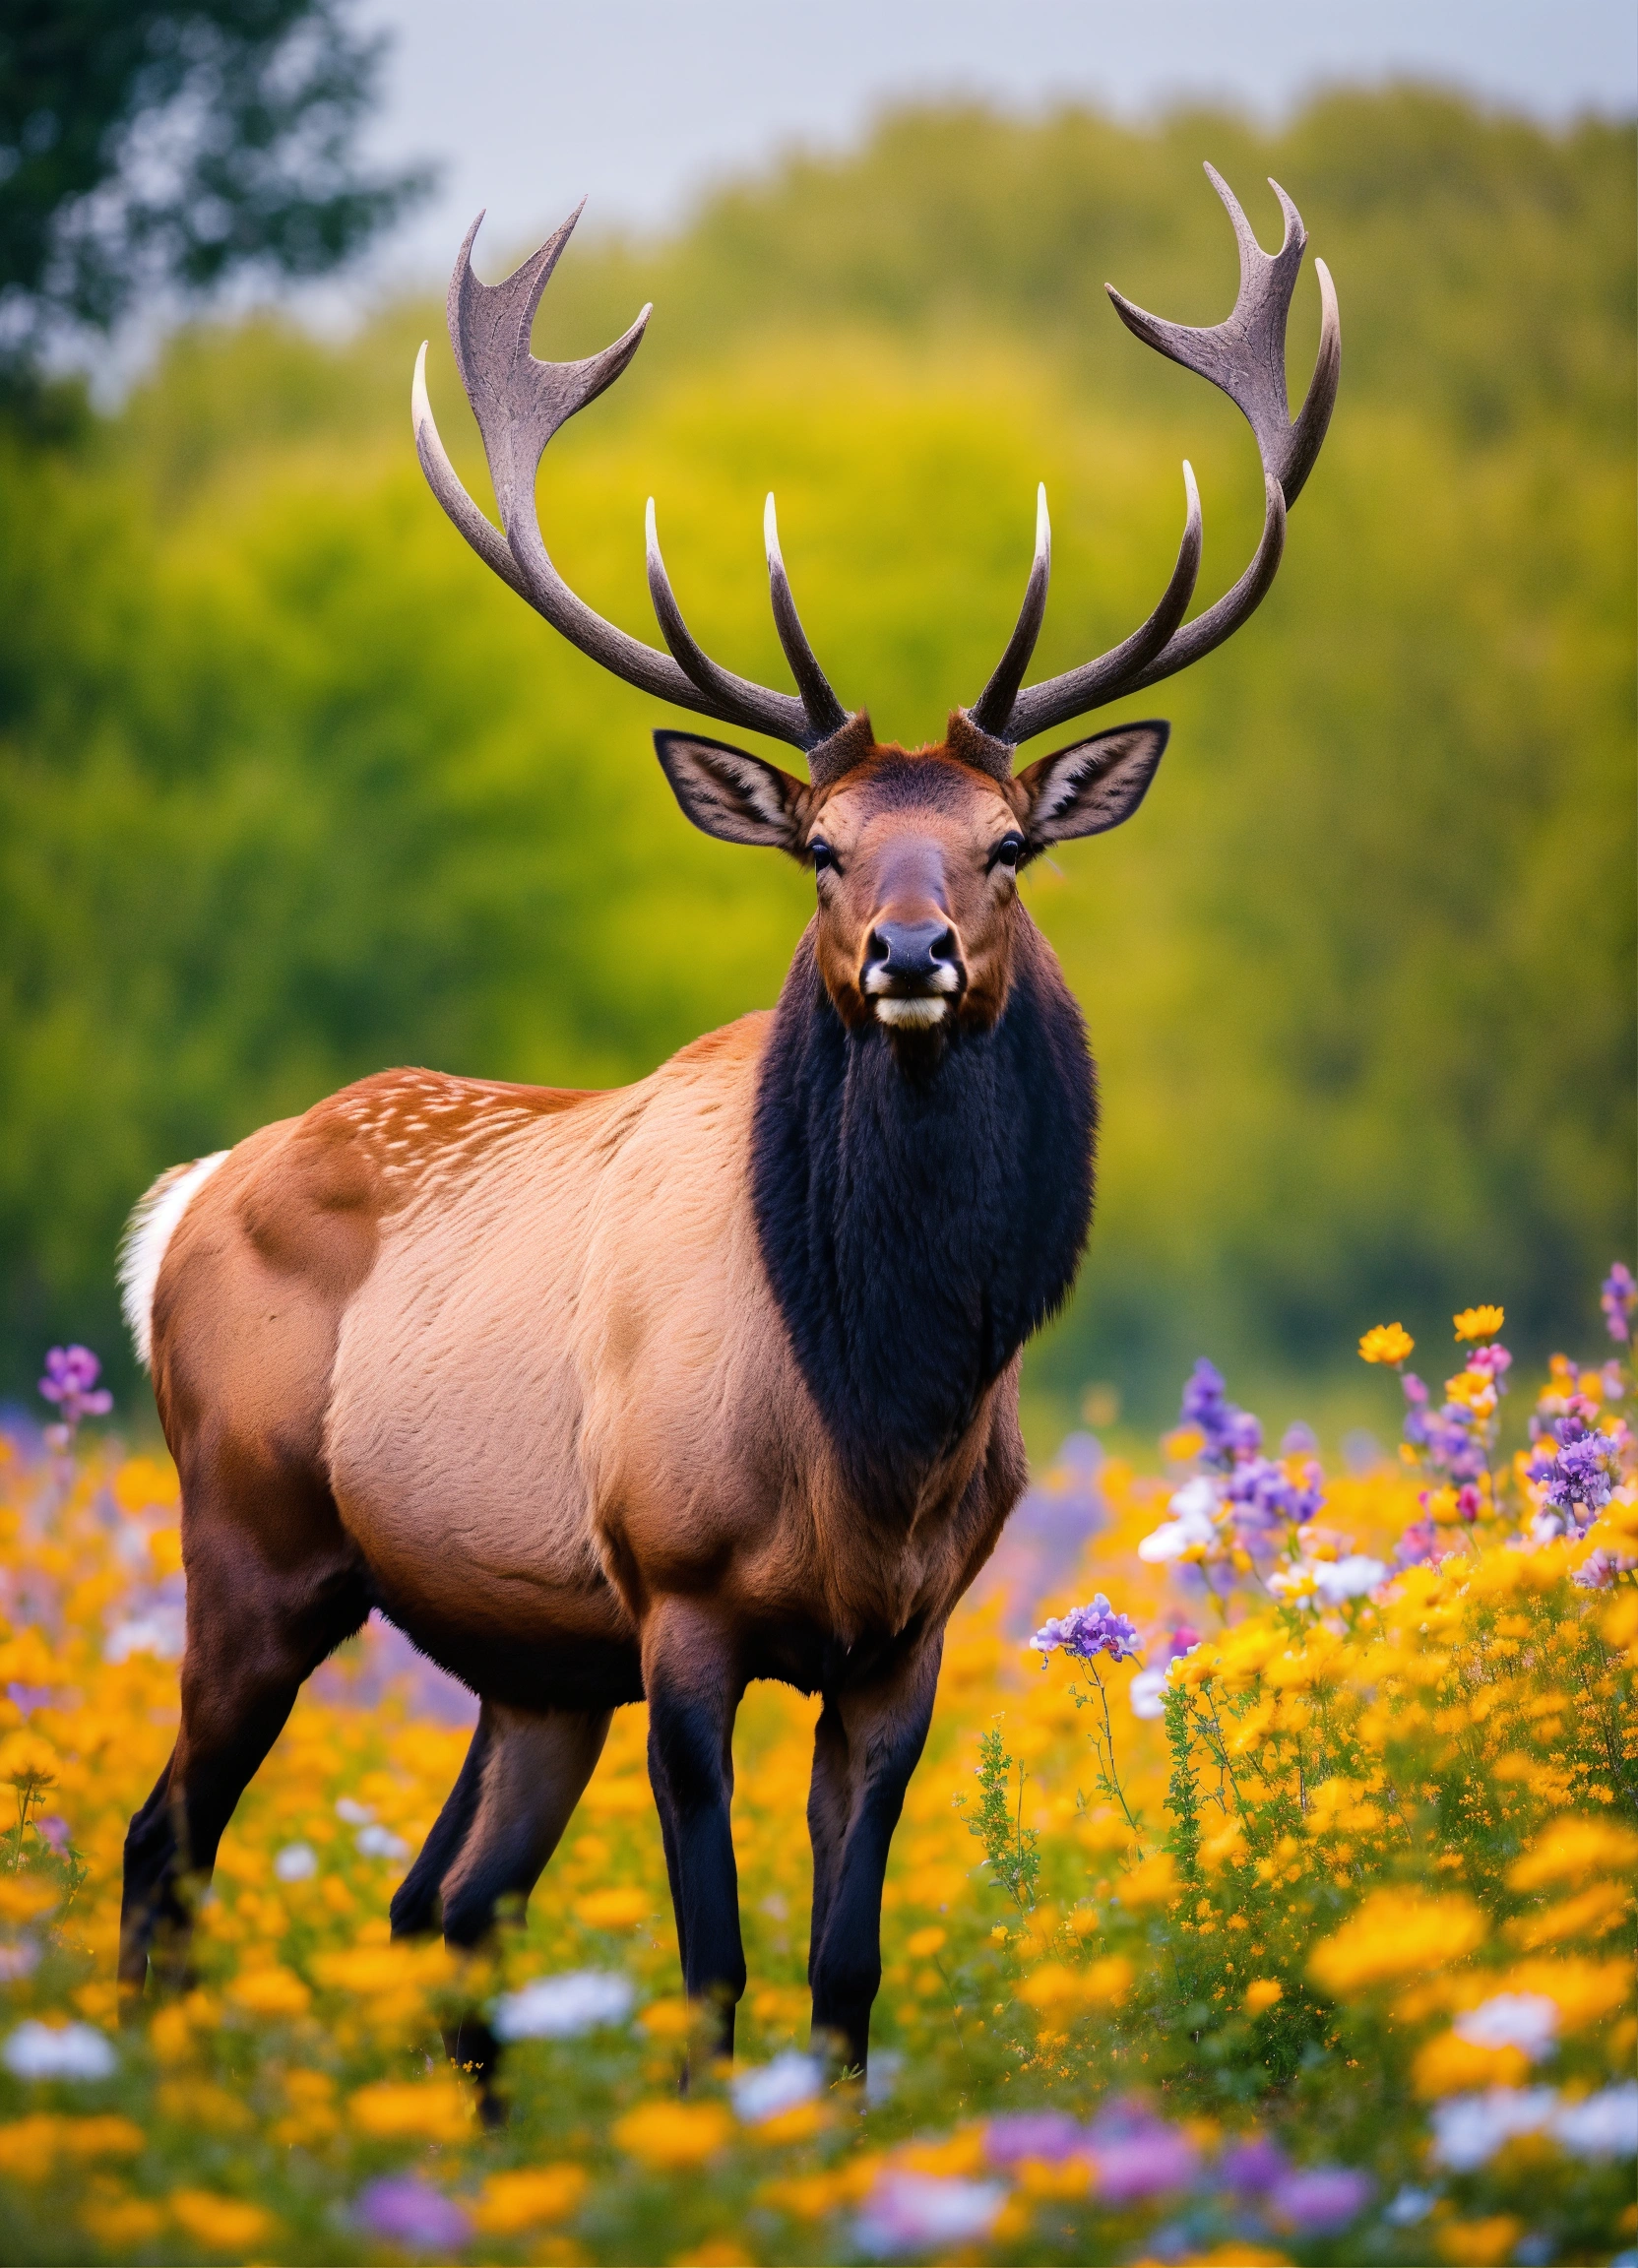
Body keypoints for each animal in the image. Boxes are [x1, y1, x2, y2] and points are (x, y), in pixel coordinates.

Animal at [117, 164, 1338, 2083]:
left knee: (442, 1904)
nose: (907, 953)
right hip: (256, 1538)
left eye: (1007, 843)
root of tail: (181, 1199)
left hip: (527, 1651)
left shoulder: (904, 1639)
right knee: (166, 1845)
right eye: (820, 847)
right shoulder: (677, 1597)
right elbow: (713, 1977)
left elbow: (841, 1984)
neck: (872, 1422)